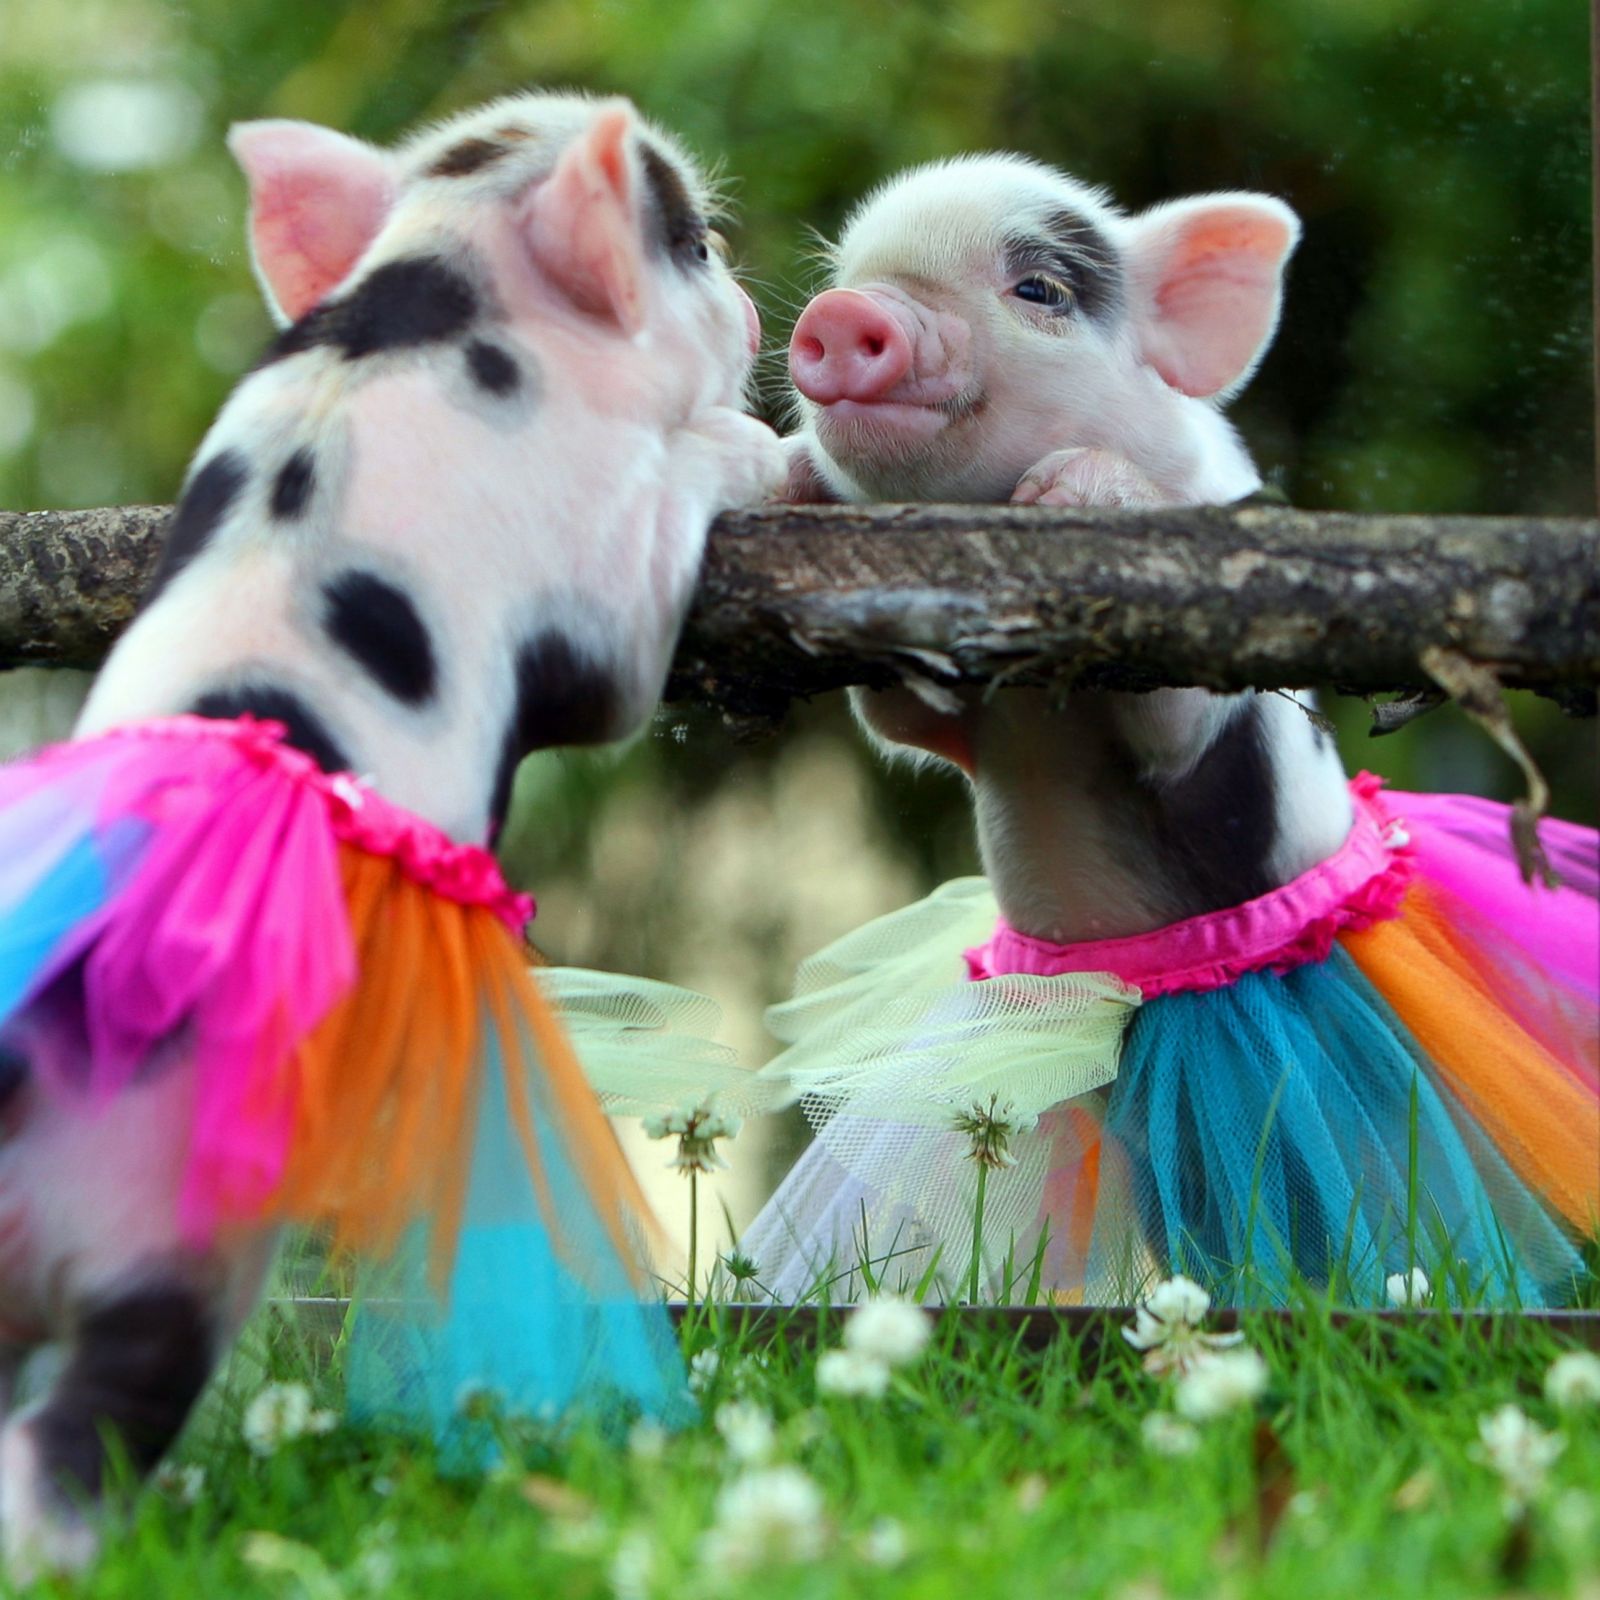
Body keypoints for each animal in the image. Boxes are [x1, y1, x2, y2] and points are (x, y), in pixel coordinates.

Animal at [0, 91, 782, 1577]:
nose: (767, 310)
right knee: (77, 1430)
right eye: (697, 246)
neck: (429, 304)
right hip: (160, 1234)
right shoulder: (599, 575)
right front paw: (766, 454)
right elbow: (630, 651)